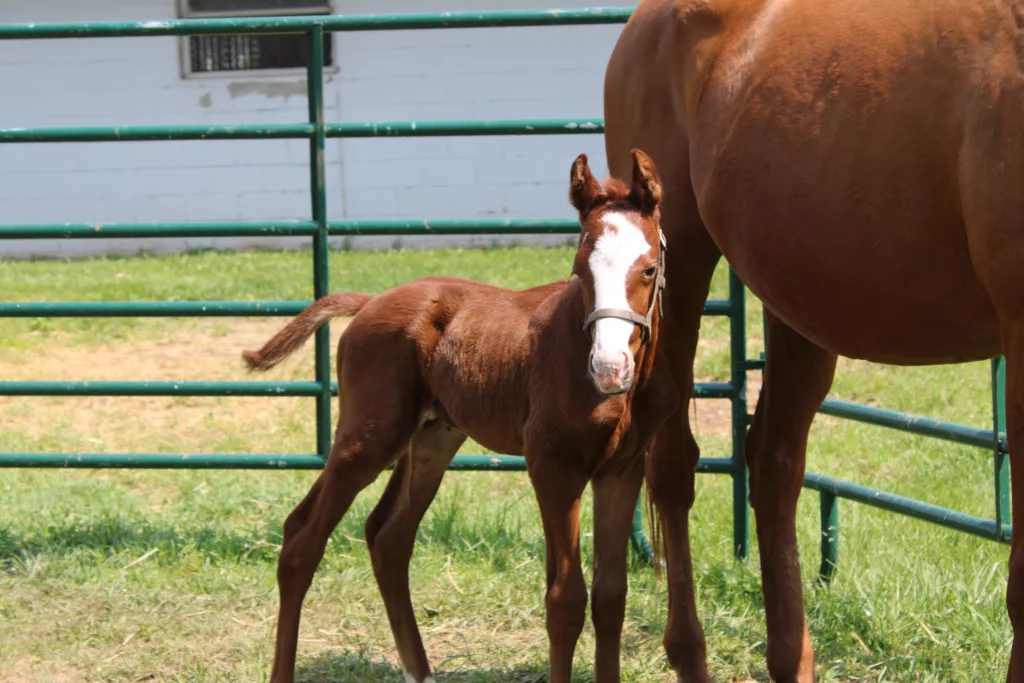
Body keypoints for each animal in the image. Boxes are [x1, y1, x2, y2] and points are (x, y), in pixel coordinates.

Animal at [243, 150, 677, 683]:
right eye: (580, 270)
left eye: (649, 269)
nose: (609, 367)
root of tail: (369, 302)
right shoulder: (553, 468)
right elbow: (565, 601)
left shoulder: (621, 471)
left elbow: (611, 598)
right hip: (369, 437)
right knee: (302, 540)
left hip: (432, 438)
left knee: (387, 537)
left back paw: (421, 671)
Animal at [603, 0, 1024, 679]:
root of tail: (643, 24)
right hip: (679, 268)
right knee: (672, 465)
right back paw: (689, 651)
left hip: (796, 299)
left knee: (773, 463)